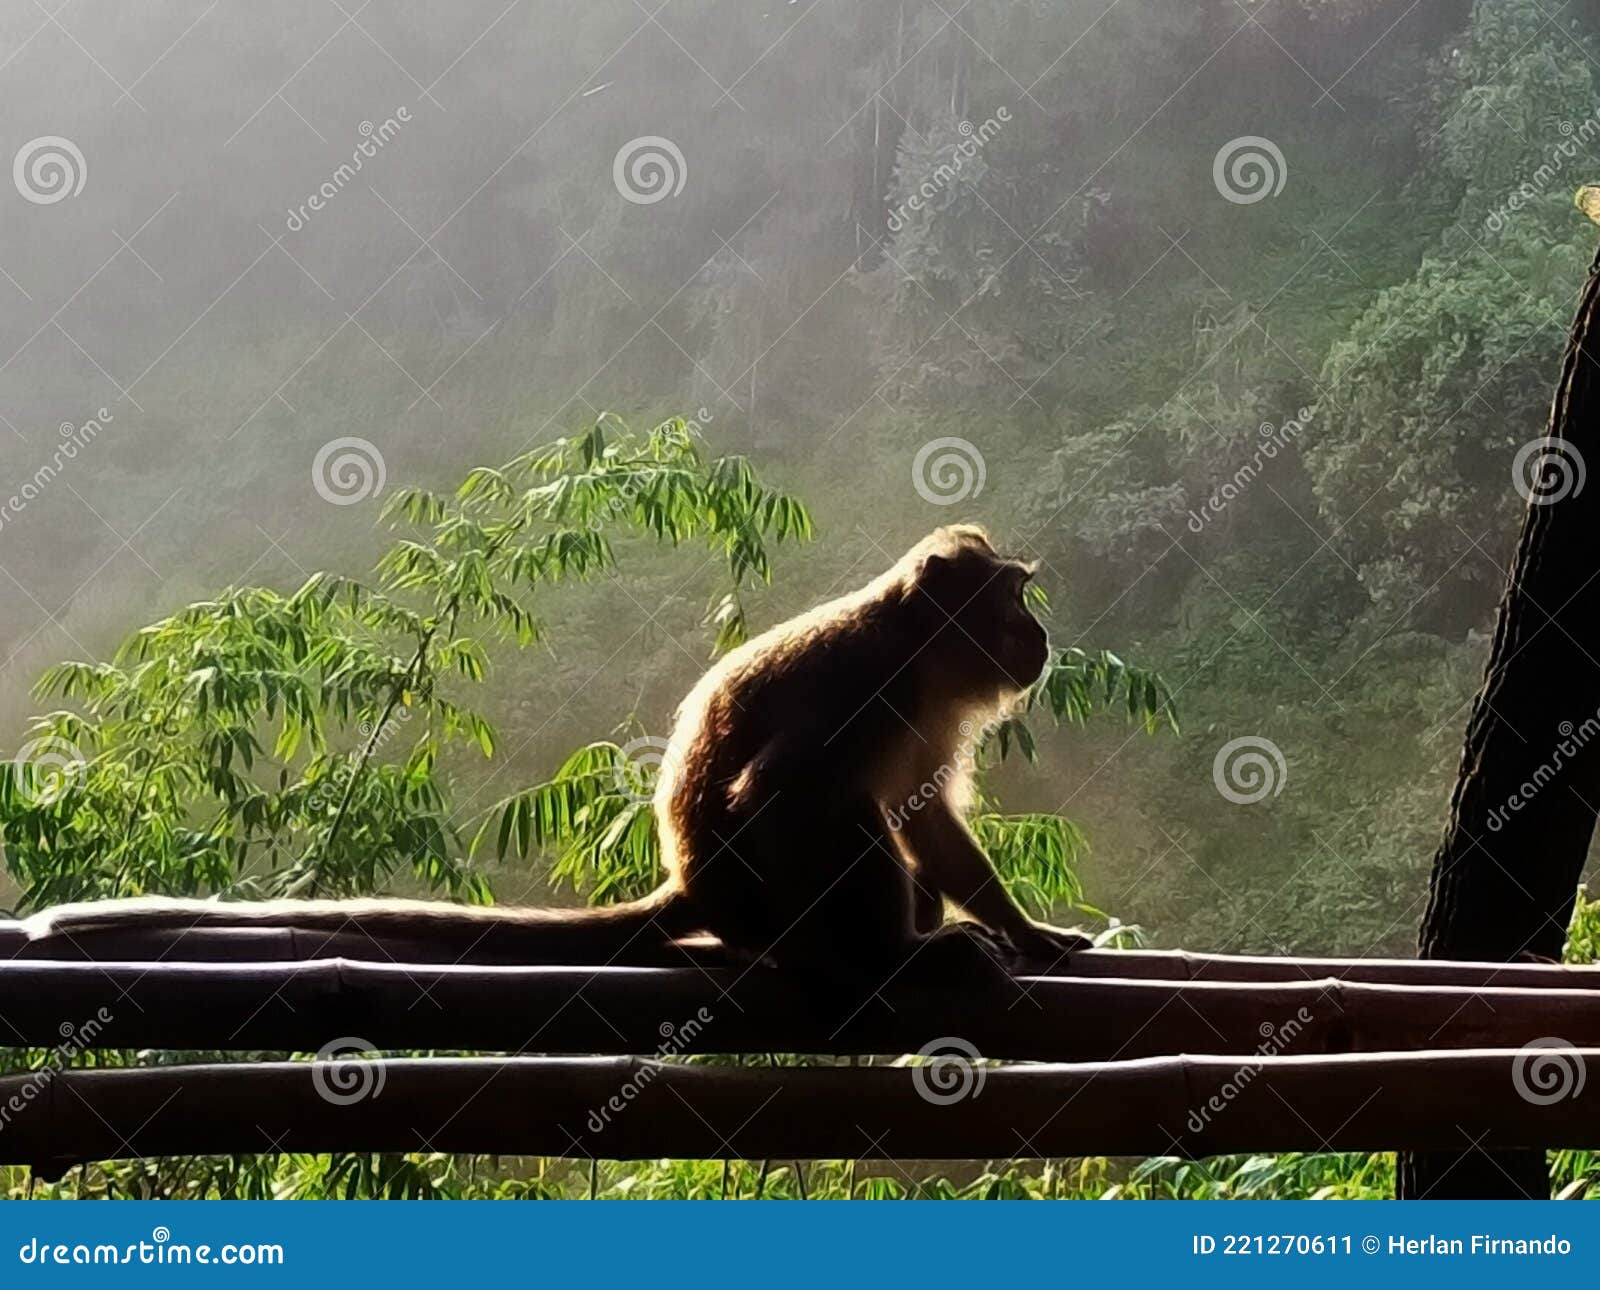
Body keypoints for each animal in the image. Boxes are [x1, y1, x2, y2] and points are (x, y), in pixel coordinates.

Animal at [26, 525, 1089, 983]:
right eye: (1012, 597)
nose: (1040, 633)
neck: (918, 655)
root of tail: (693, 888)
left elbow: (928, 816)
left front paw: (1030, 934)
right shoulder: (866, 690)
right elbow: (779, 795)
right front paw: (897, 952)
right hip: (758, 896)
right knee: (828, 815)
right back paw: (876, 948)